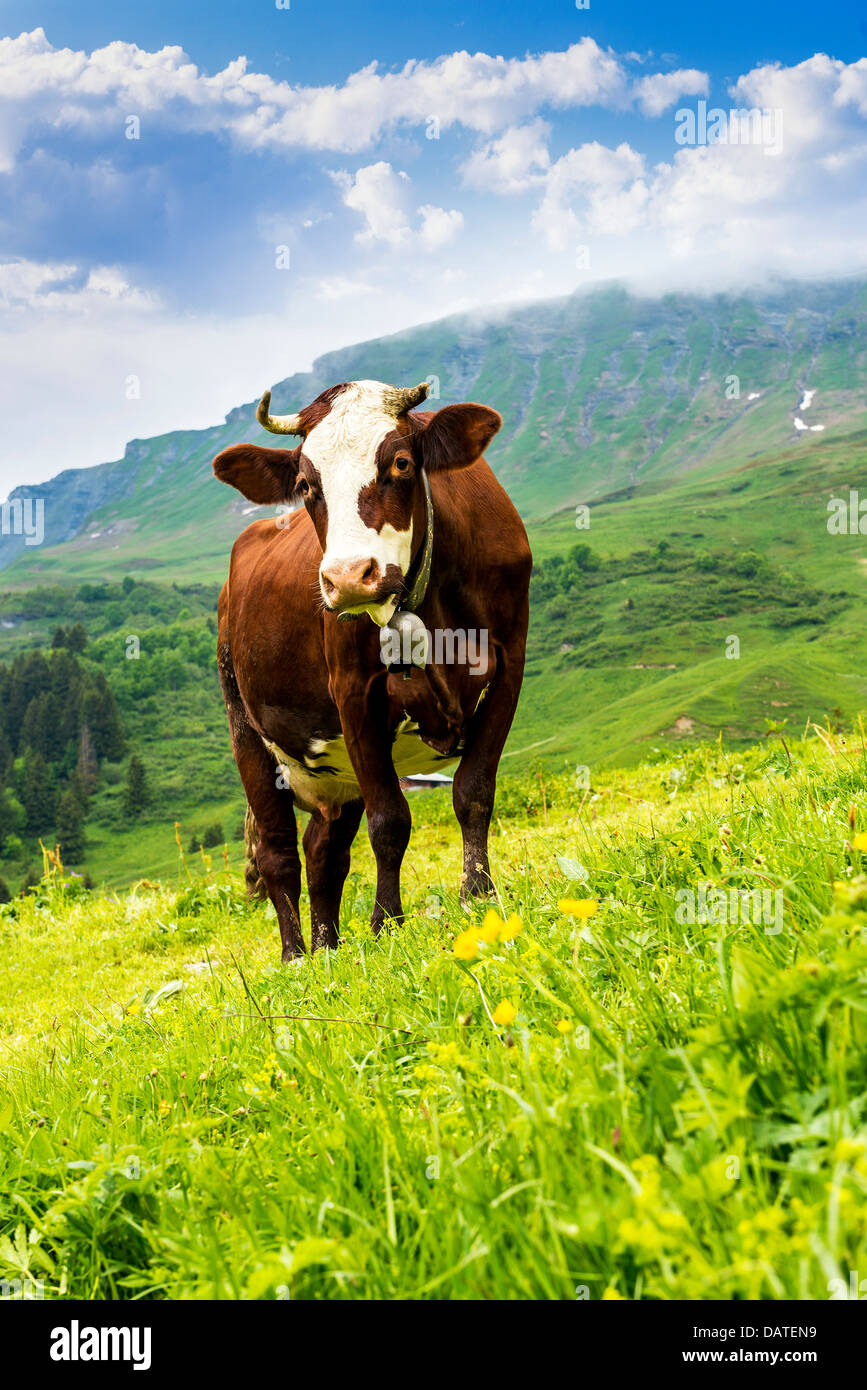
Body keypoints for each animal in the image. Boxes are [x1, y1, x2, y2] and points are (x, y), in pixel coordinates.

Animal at [213, 380, 530, 967]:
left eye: (401, 463)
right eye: (304, 484)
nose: (346, 578)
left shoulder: (510, 663)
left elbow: (473, 791)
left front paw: (478, 895)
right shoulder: (354, 693)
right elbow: (390, 821)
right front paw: (387, 923)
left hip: (334, 772)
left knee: (323, 851)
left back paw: (328, 947)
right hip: (245, 726)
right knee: (277, 852)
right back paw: (297, 957)